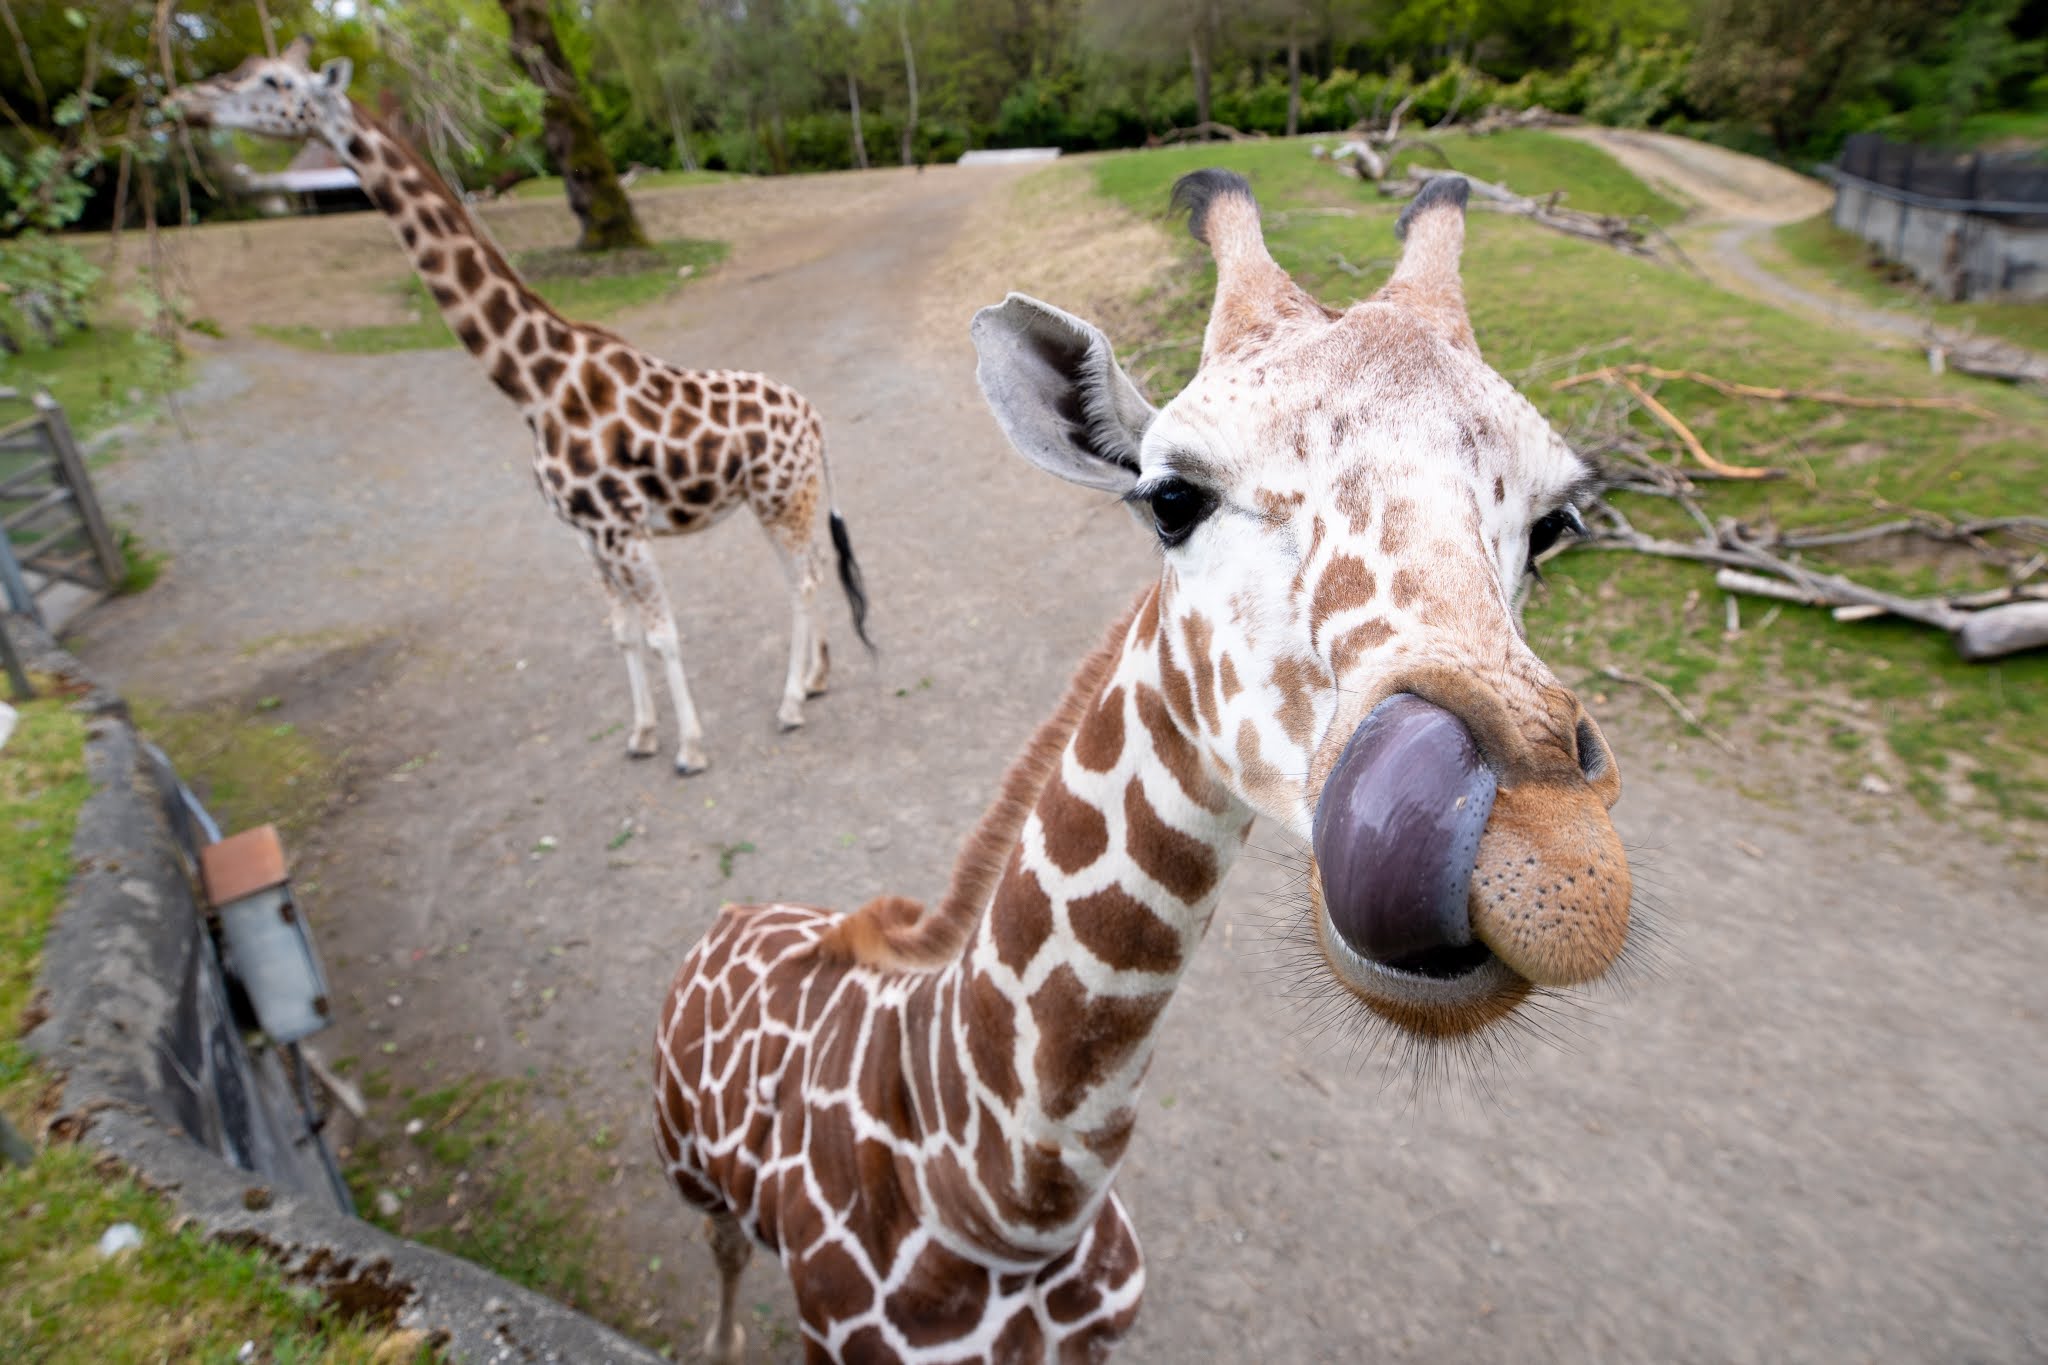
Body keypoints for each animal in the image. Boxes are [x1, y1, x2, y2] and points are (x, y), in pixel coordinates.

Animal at [169, 40, 872, 775]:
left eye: (273, 82)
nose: (185, 103)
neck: (534, 387)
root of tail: (816, 419)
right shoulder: (586, 535)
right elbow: (621, 632)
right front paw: (642, 735)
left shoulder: (622, 530)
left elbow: (662, 634)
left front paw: (690, 748)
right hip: (782, 500)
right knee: (809, 573)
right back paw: (815, 680)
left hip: (778, 499)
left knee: (803, 582)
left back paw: (790, 703)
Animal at [654, 167, 1634, 1362]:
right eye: (1171, 498)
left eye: (1553, 526)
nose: (1554, 867)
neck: (1001, 1204)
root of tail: (731, 917)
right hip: (690, 1173)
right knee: (719, 1252)